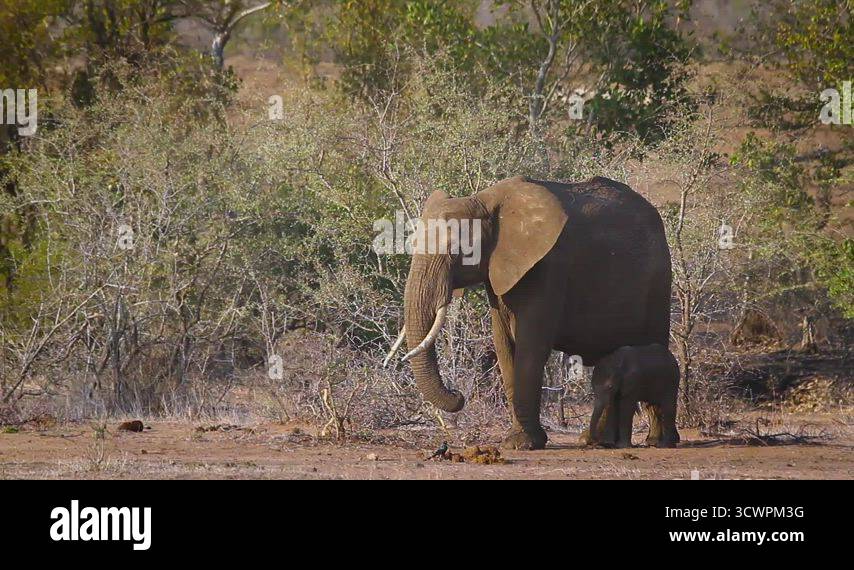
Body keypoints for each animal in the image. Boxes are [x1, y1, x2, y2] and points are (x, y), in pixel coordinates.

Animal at [384, 175, 672, 450]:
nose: (458, 394)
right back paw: (599, 441)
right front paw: (521, 441)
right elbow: (504, 344)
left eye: (458, 249)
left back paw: (655, 441)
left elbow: (531, 346)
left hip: (658, 281)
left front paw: (521, 444)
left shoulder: (549, 264)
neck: (485, 202)